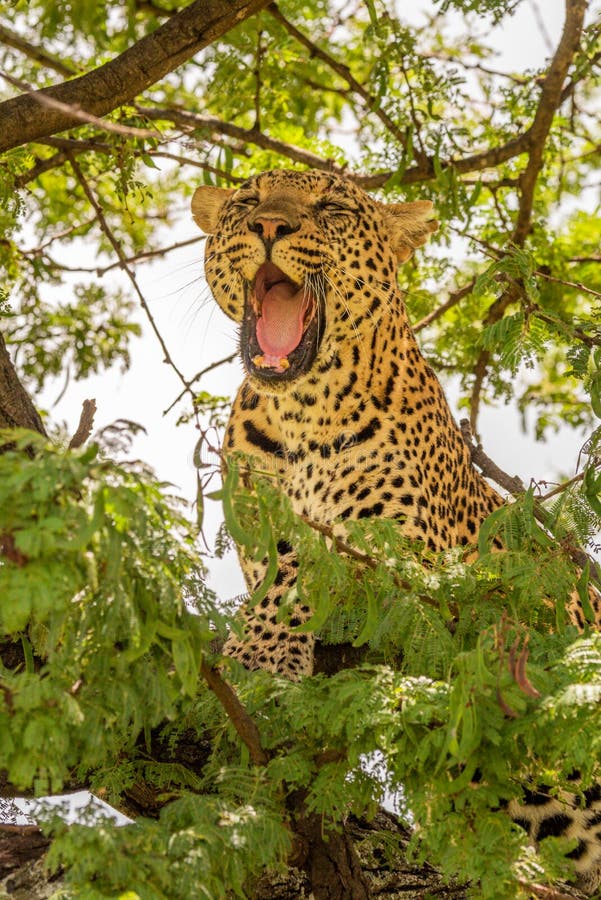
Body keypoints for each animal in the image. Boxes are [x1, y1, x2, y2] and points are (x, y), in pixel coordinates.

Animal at [192, 168, 601, 893]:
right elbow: (278, 567)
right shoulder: (254, 528)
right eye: (246, 202)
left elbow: (304, 571)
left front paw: (258, 656)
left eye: (329, 207)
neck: (300, 410)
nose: (269, 225)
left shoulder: (405, 546)